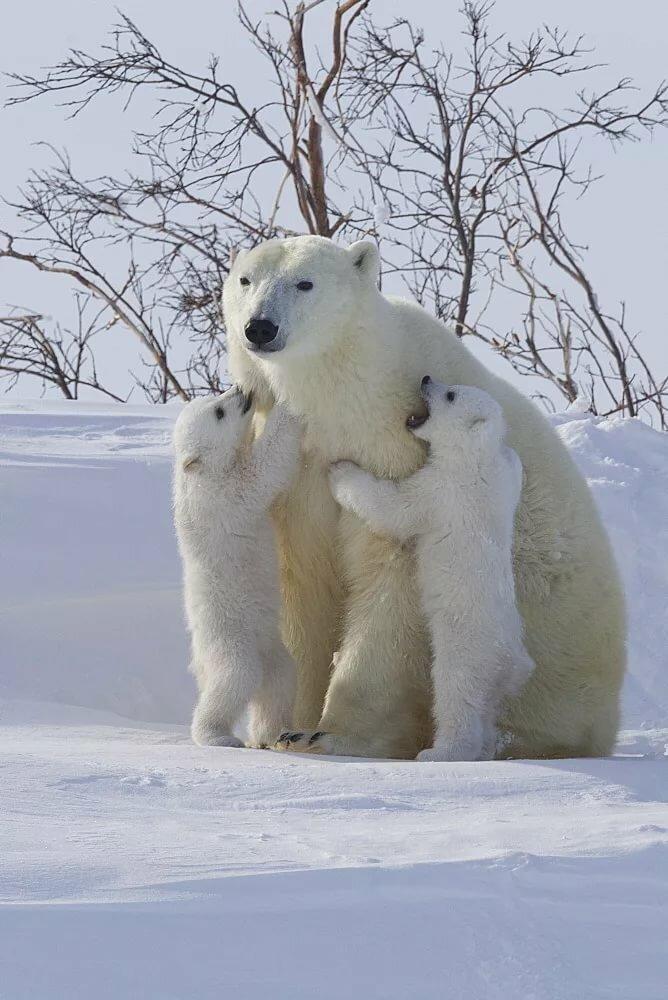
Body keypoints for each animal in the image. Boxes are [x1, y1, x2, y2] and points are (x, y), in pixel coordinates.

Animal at [172, 386, 300, 748]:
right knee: (235, 678)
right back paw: (219, 737)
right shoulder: (224, 495)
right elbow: (262, 470)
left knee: (281, 680)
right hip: (229, 637)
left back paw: (273, 733)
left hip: (268, 644)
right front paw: (287, 402)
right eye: (218, 412)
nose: (241, 390)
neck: (198, 475)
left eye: (215, 397)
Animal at [330, 378, 536, 760]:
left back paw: (440, 752)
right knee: (486, 709)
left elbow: (394, 508)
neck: (474, 459)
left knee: (457, 694)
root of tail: (514, 662)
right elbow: (514, 463)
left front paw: (340, 470)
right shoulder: (506, 476)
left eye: (451, 395)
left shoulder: (440, 491)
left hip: (467, 647)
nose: (426, 379)